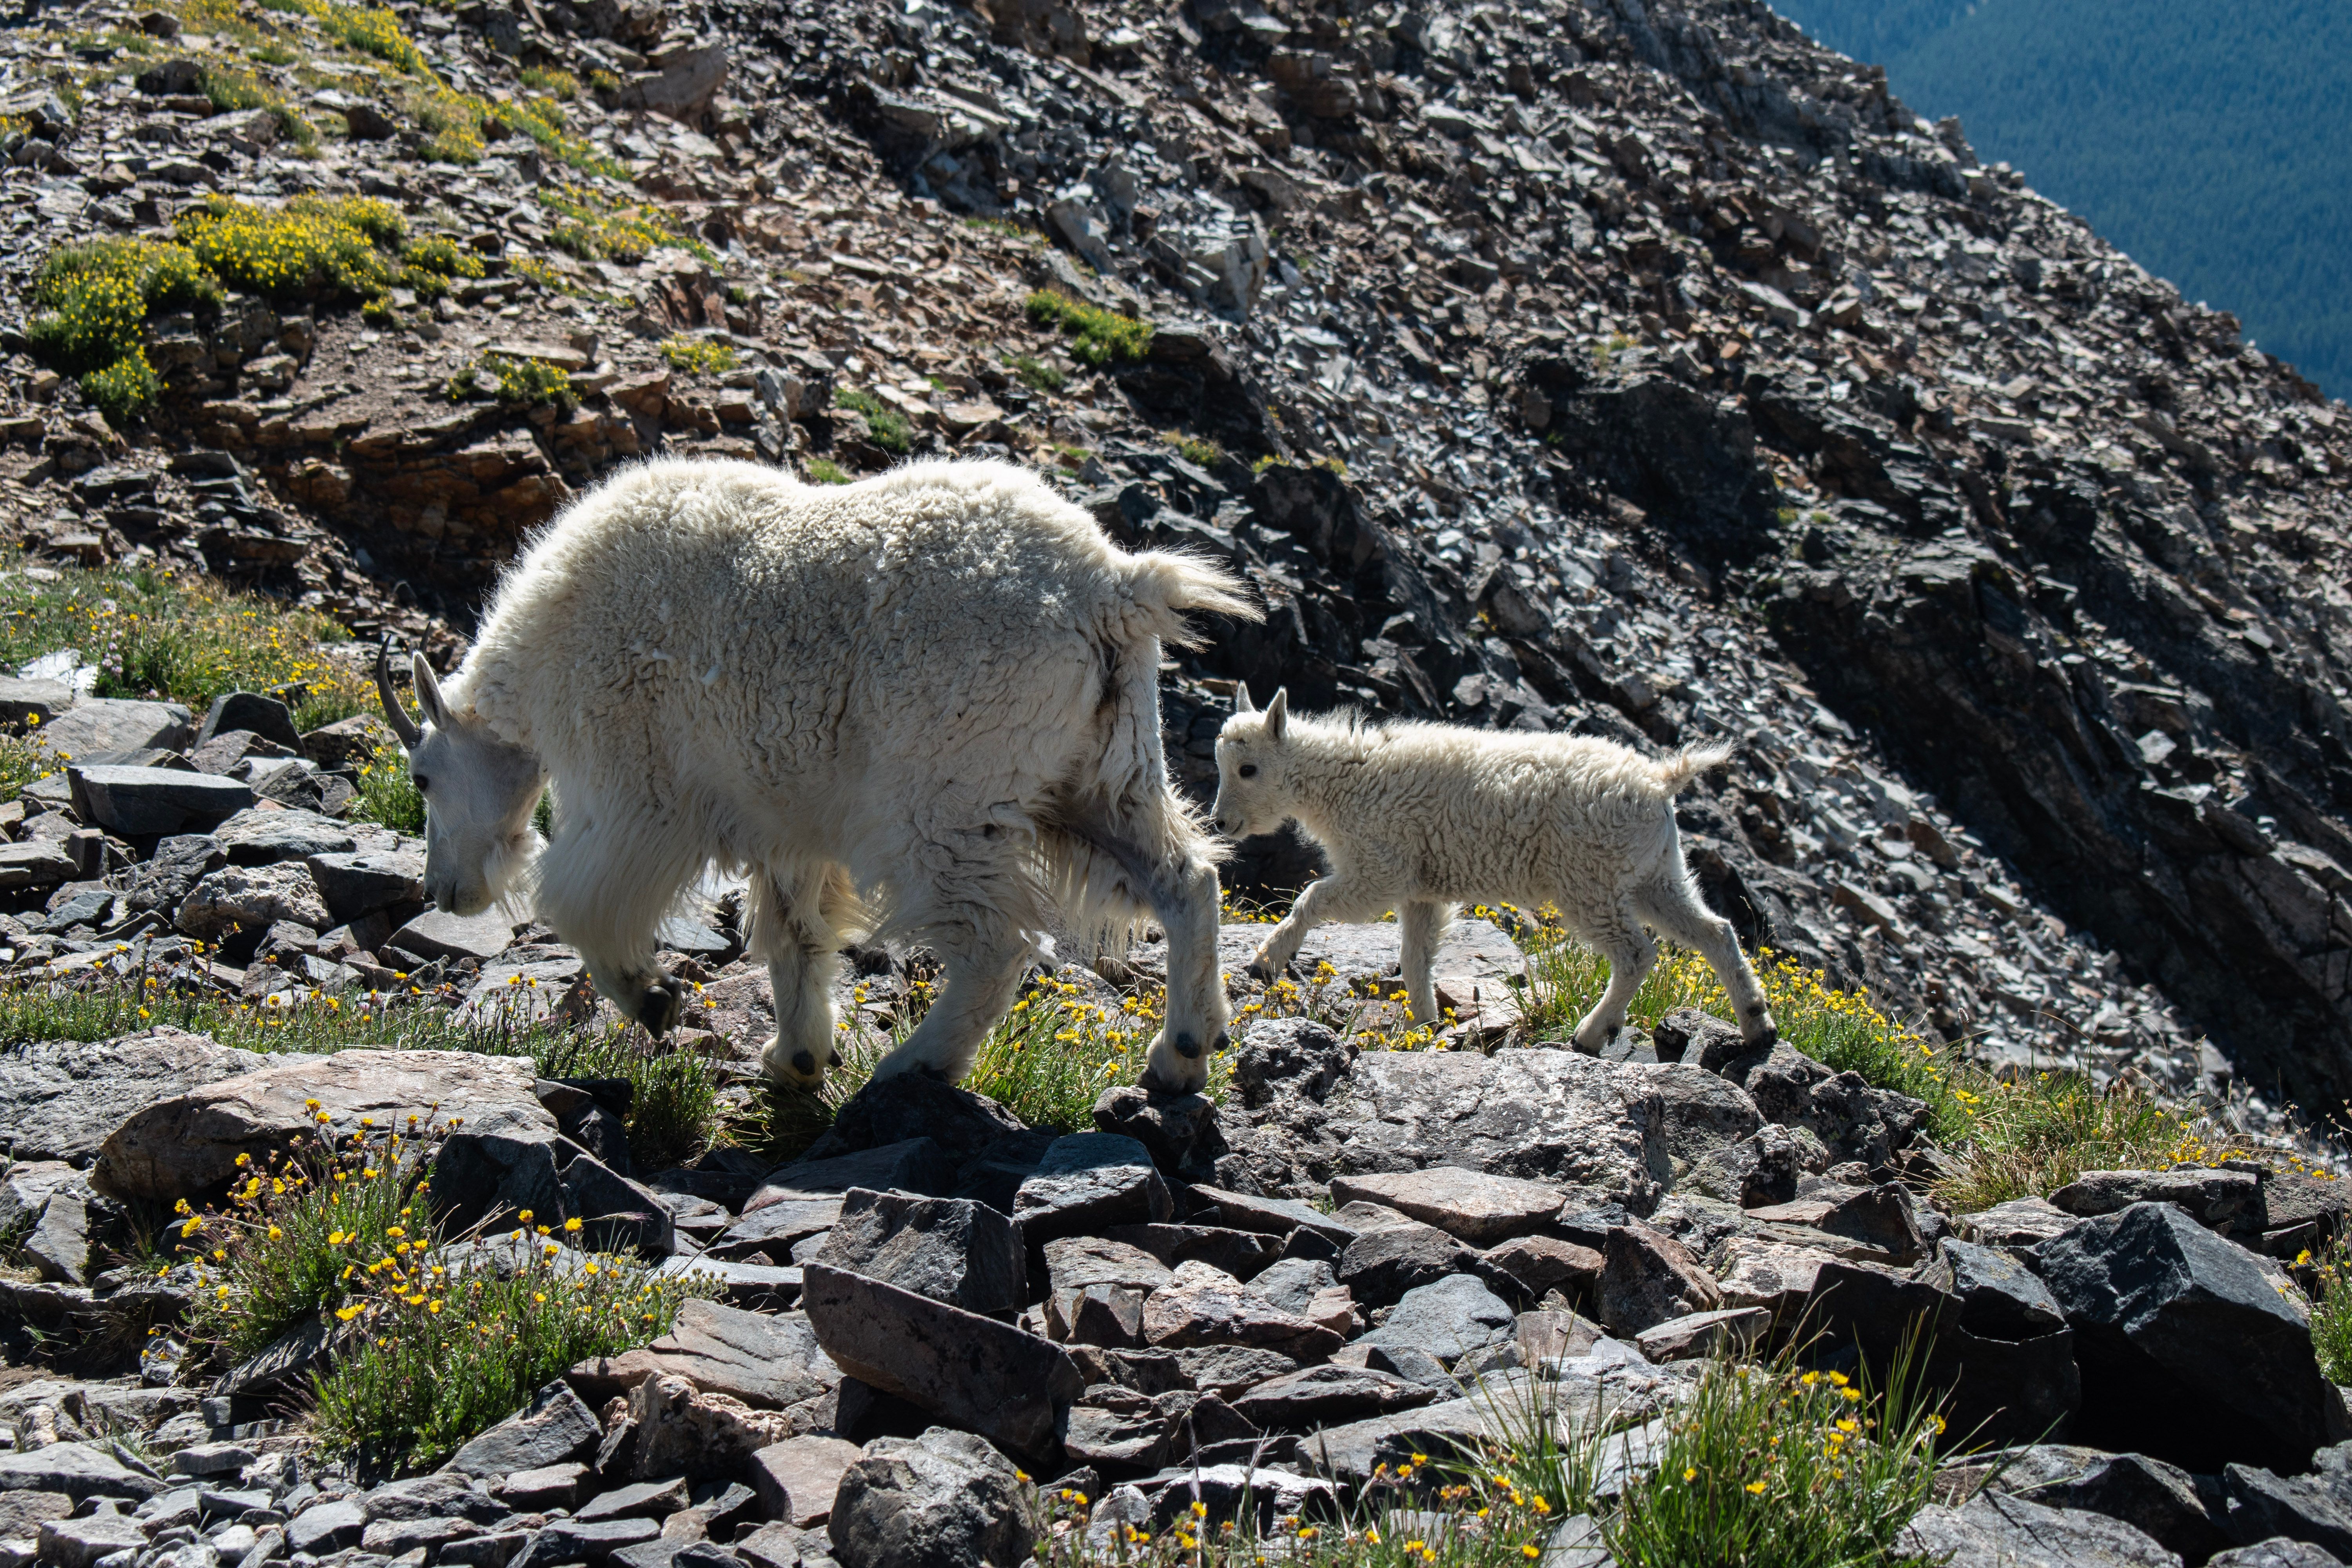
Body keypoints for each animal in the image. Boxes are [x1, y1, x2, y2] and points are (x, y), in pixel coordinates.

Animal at [377, 456, 1255, 1094]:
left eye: (421, 778)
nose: (444, 891)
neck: (538, 660)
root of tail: (1110, 587)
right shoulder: (783, 812)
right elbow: (795, 931)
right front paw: (794, 1058)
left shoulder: (636, 785)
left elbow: (582, 900)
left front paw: (650, 997)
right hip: (1101, 767)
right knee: (1186, 878)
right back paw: (1183, 1050)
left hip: (944, 787)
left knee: (996, 940)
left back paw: (916, 1064)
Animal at [1209, 686, 1777, 1052]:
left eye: (1248, 769)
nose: (1221, 822)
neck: (1342, 782)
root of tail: (1662, 781)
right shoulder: (1422, 889)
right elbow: (1416, 959)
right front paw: (1424, 1026)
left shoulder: (1381, 869)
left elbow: (1311, 900)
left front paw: (1265, 960)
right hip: (1656, 875)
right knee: (1715, 931)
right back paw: (1757, 1024)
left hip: (1590, 880)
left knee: (1637, 953)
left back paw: (1592, 1033)